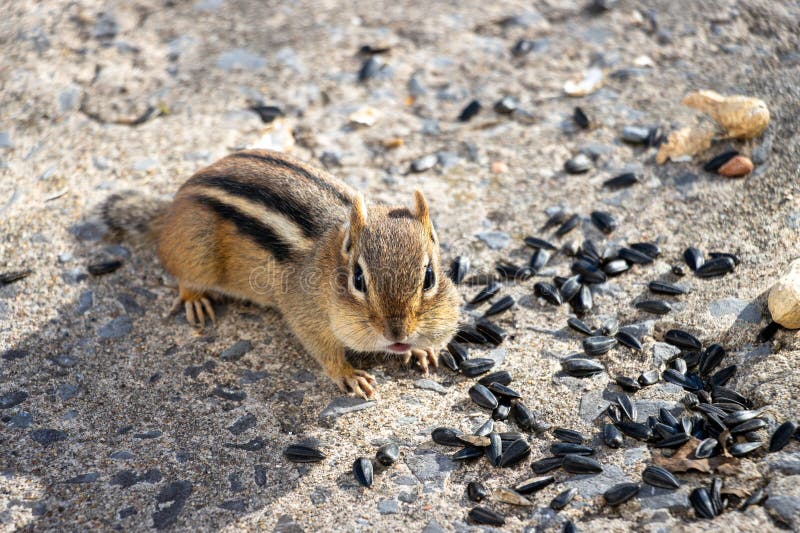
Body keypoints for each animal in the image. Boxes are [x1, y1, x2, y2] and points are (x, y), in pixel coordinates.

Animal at [102, 149, 460, 398]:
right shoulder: (304, 314)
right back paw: (195, 300)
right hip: (195, 251)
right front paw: (349, 374)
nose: (397, 334)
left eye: (429, 277)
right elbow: (323, 349)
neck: (328, 257)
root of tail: (174, 204)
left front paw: (421, 349)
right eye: (358, 279)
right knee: (181, 274)